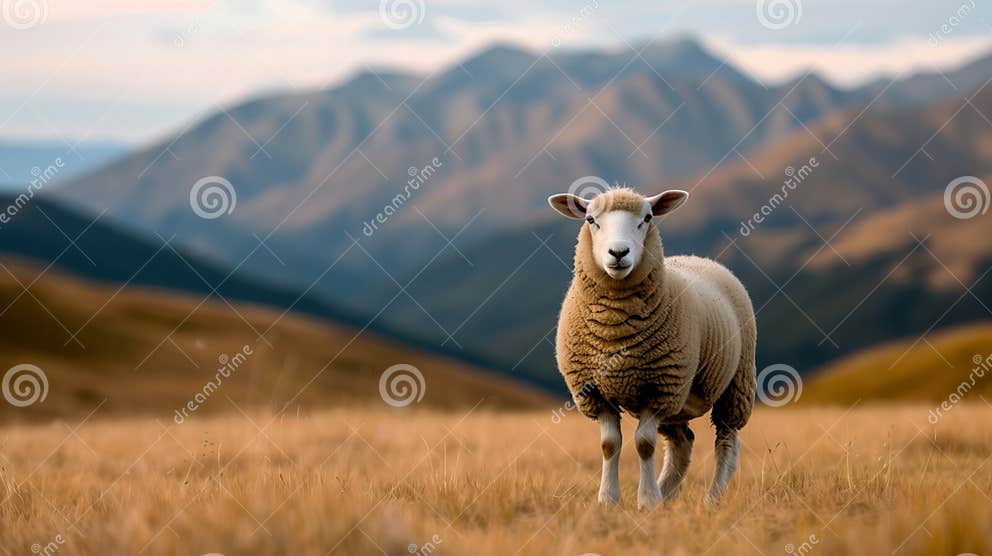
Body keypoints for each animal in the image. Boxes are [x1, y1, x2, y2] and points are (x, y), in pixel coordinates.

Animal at [547, 187, 756, 510]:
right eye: (590, 219)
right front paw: (609, 500)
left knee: (726, 442)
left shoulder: (657, 389)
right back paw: (667, 491)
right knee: (682, 442)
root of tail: (699, 258)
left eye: (647, 218)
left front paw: (646, 501)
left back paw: (711, 498)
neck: (614, 328)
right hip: (677, 403)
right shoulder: (596, 392)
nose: (619, 253)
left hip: (735, 384)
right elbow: (609, 445)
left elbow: (644, 445)